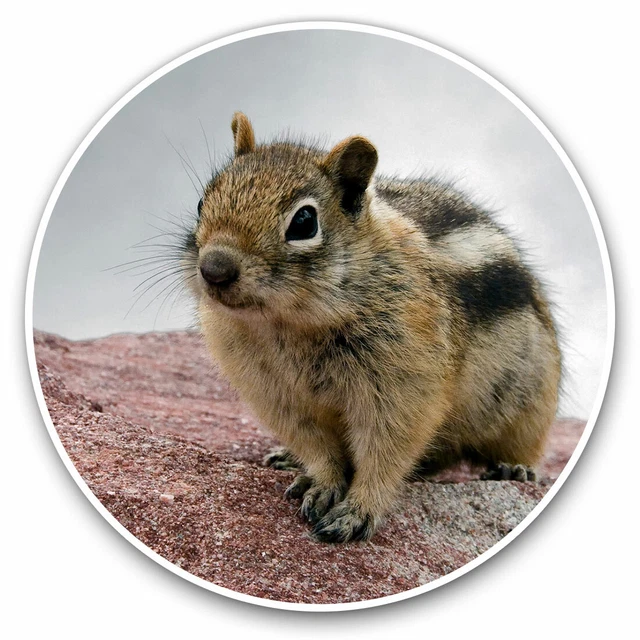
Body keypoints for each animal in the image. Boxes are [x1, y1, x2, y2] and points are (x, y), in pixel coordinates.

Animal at [181, 112, 562, 543]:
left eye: (304, 222)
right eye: (201, 202)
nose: (214, 269)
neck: (290, 323)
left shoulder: (402, 389)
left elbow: (386, 453)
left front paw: (357, 512)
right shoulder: (277, 396)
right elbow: (317, 448)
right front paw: (321, 482)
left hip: (531, 407)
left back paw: (516, 468)